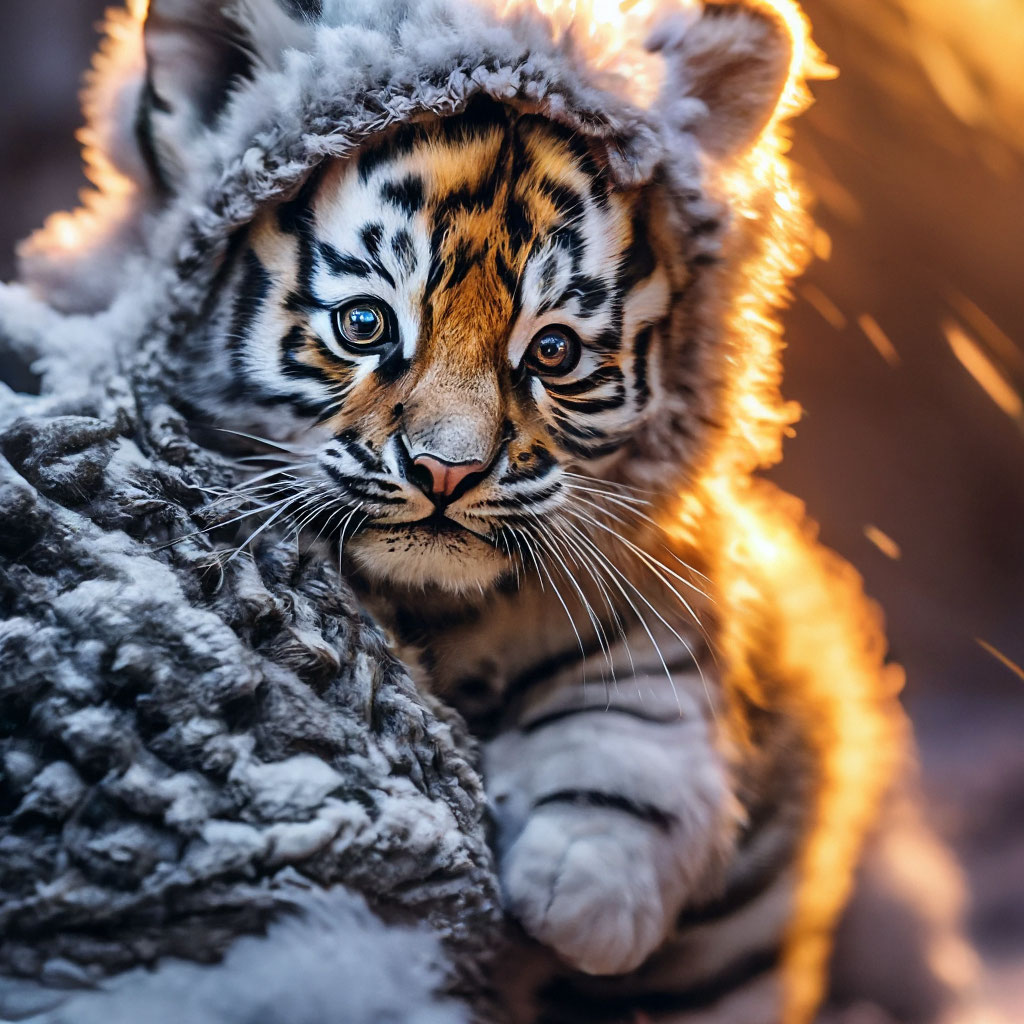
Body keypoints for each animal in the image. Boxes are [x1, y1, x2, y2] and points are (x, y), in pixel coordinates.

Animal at [57, 0, 975, 1020]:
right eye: (365, 325)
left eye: (554, 352)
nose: (446, 472)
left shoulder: (651, 561)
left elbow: (642, 702)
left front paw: (587, 894)